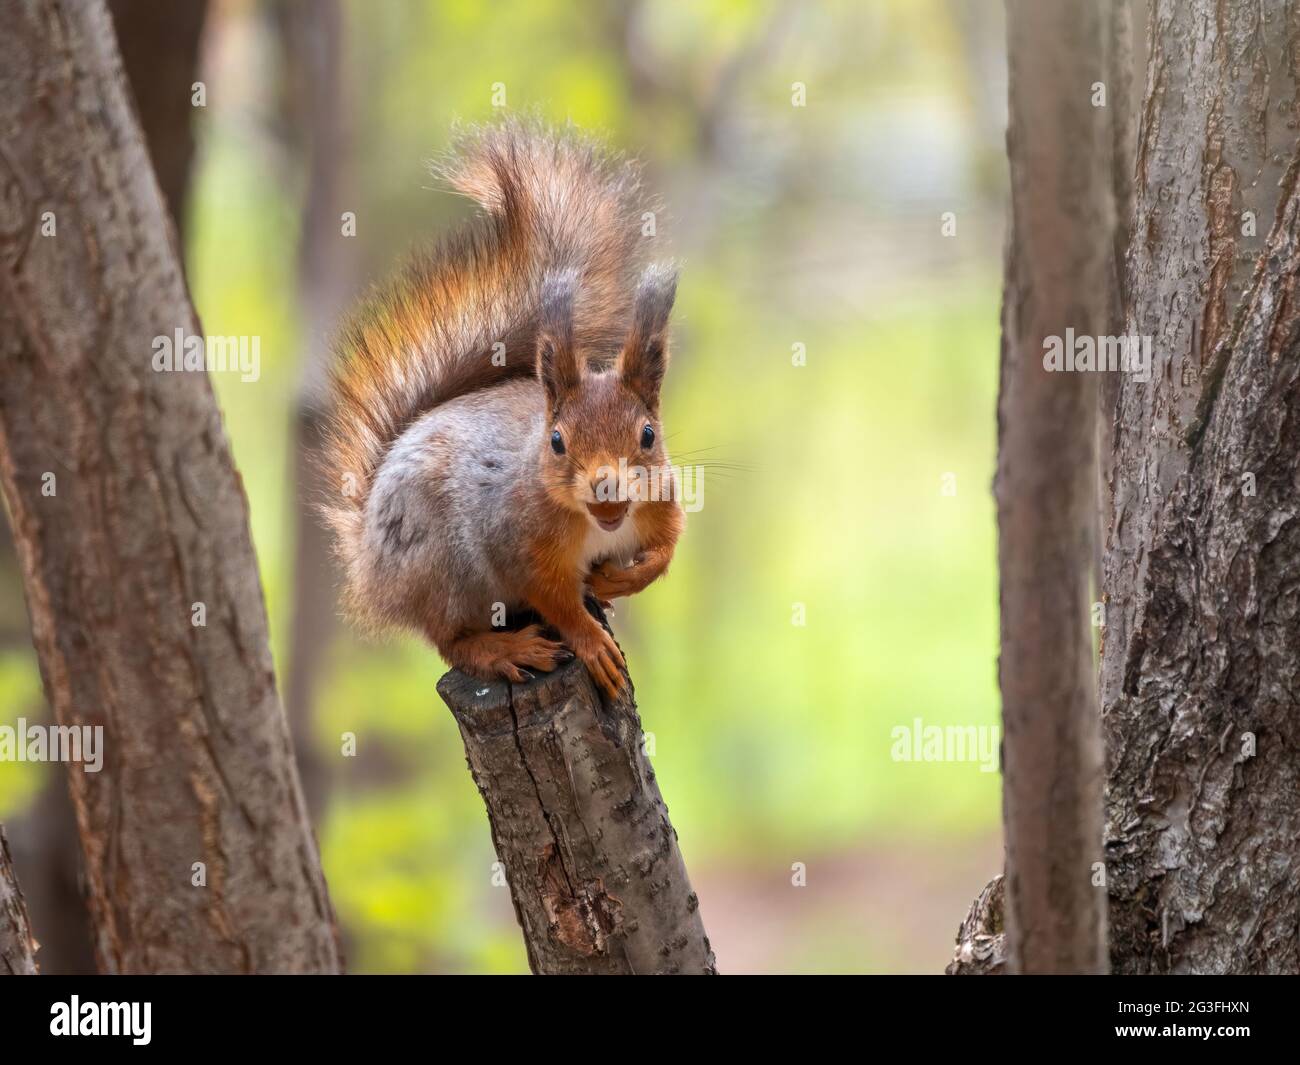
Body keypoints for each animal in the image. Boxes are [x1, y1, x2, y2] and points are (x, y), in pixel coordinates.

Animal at [320, 119, 683, 699]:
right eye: (556, 441)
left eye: (648, 435)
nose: (606, 487)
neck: (601, 526)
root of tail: (369, 568)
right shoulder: (517, 544)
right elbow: (555, 601)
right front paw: (592, 644)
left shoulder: (662, 501)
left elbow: (666, 551)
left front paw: (622, 578)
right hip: (440, 568)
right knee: (449, 641)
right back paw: (507, 649)